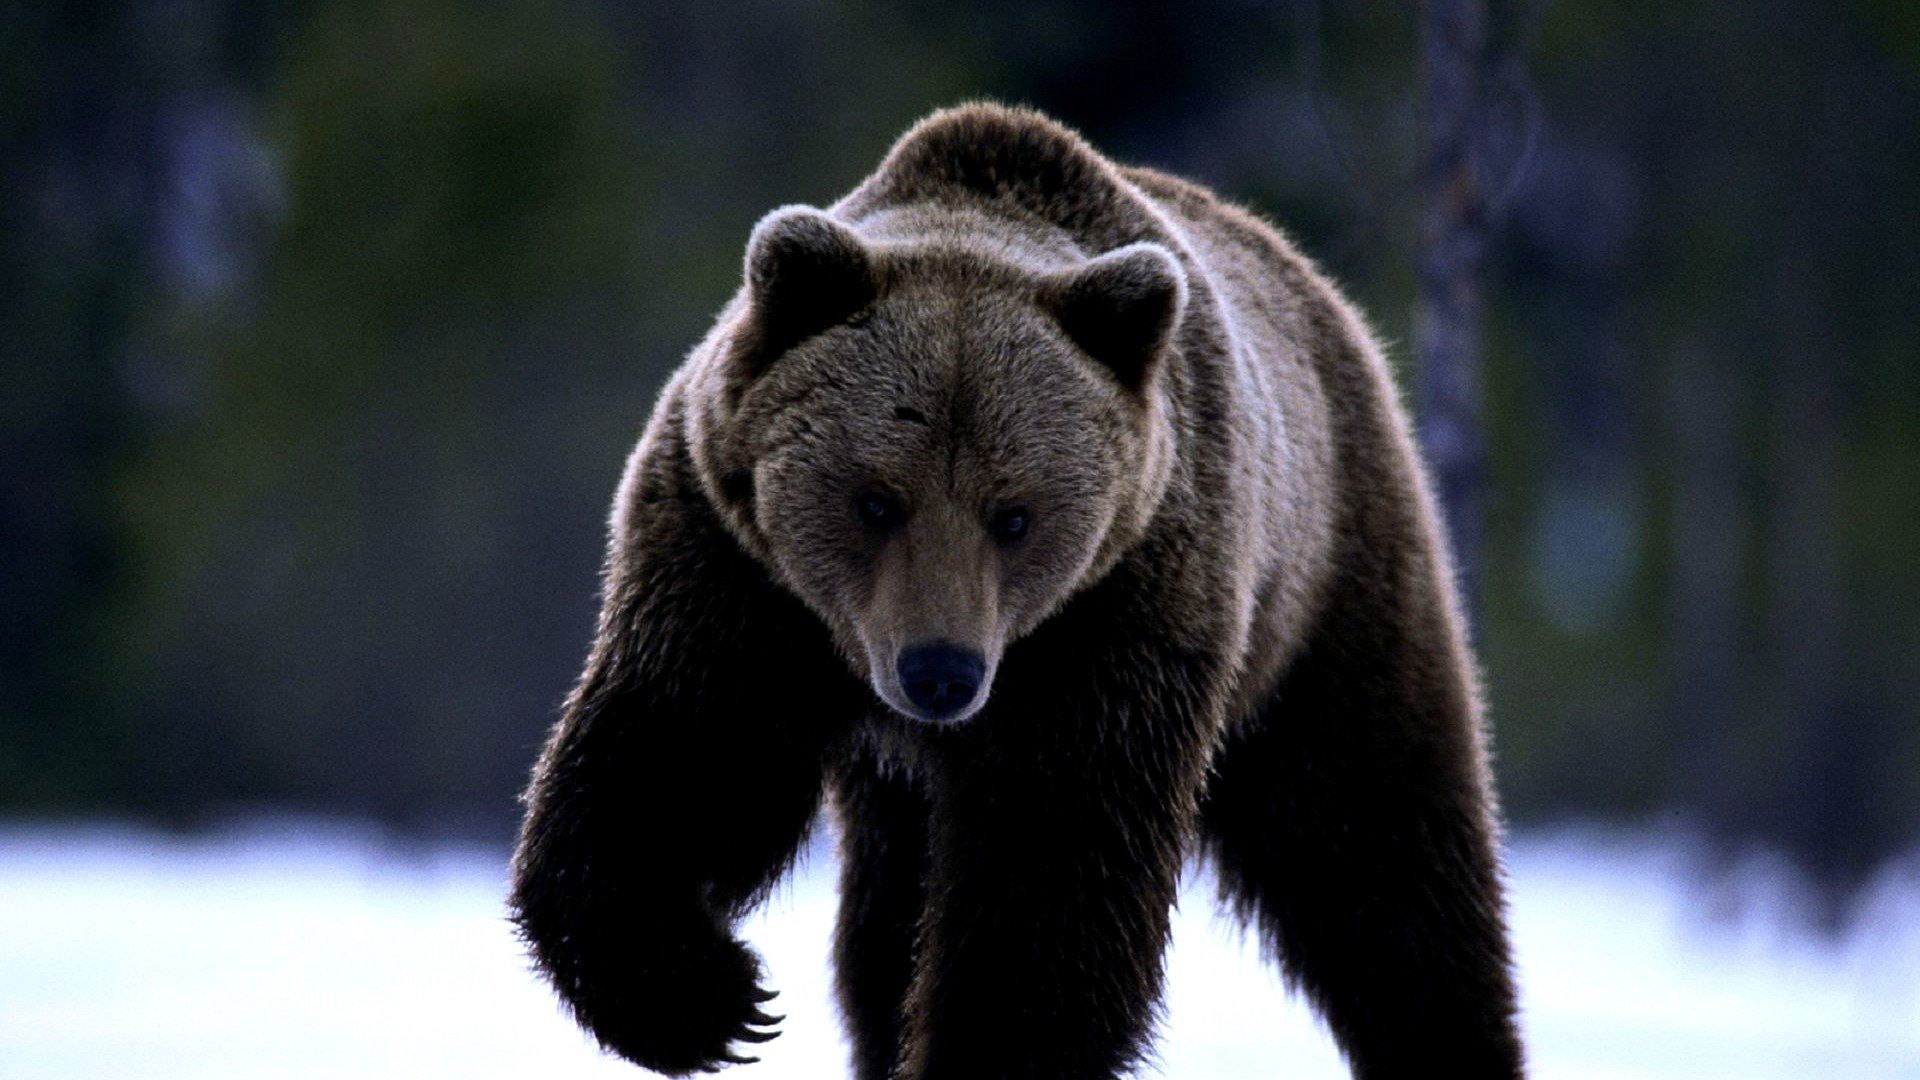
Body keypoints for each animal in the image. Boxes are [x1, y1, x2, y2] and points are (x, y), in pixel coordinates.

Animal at [509, 103, 1524, 1080]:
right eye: (876, 499)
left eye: (1015, 515)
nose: (941, 672)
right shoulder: (735, 572)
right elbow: (680, 756)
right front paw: (704, 998)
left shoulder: (1119, 615)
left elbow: (1051, 881)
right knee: (882, 932)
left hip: (1329, 594)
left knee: (1380, 859)